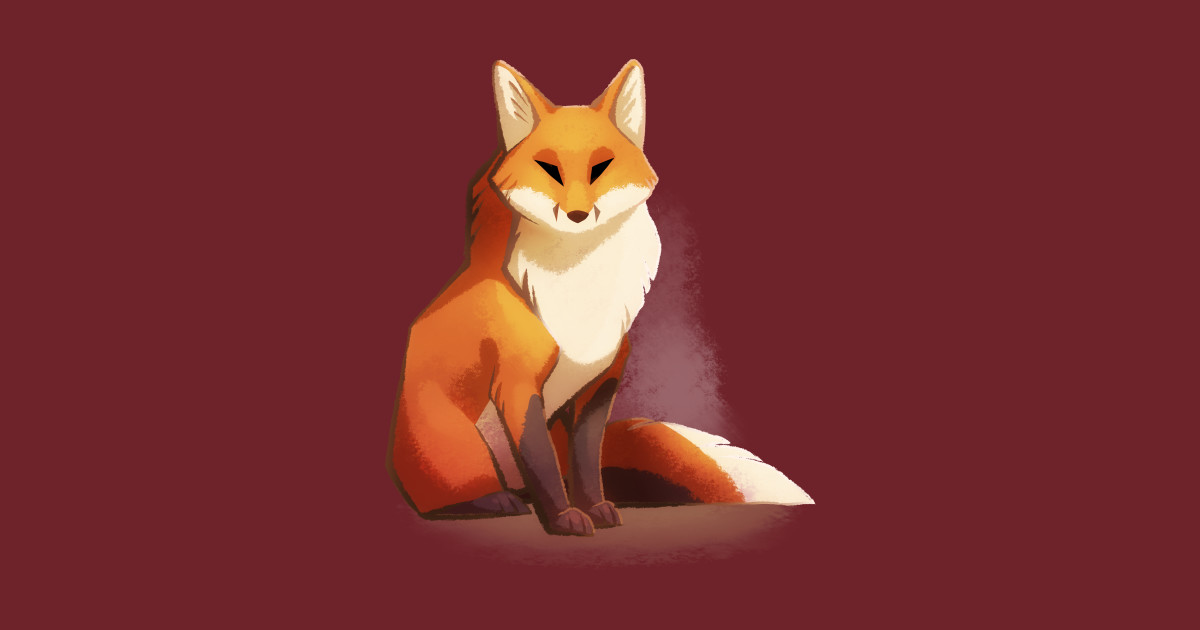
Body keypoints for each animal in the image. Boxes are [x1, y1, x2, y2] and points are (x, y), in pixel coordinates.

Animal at [389, 60, 812, 536]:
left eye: (601, 167)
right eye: (548, 168)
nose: (576, 214)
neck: (581, 300)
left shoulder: (601, 384)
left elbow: (586, 464)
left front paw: (596, 509)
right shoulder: (517, 386)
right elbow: (543, 467)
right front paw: (563, 519)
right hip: (460, 449)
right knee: (452, 495)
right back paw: (493, 501)